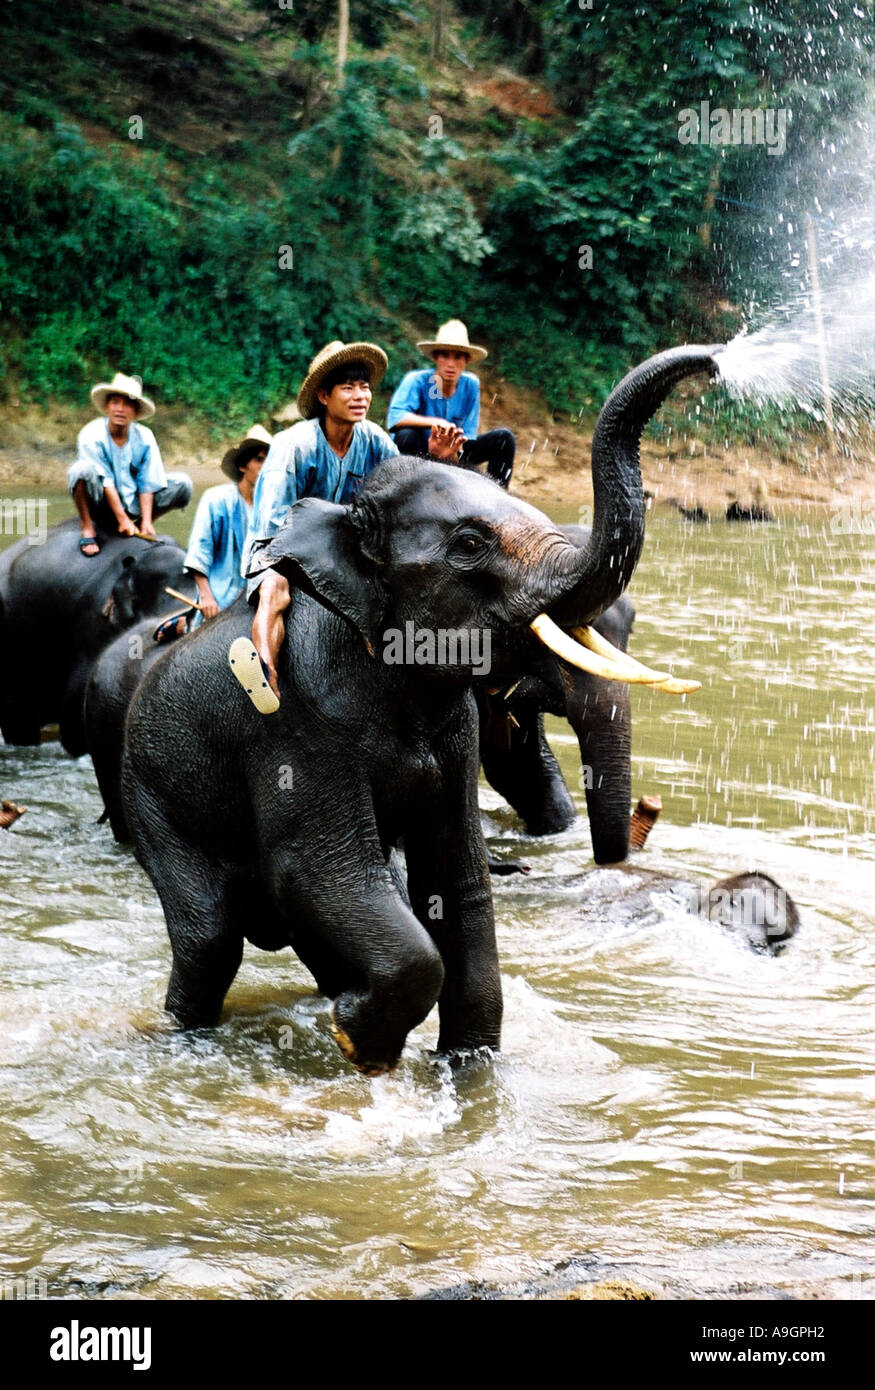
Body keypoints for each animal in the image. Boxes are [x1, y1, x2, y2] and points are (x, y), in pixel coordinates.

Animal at [121, 345, 723, 1074]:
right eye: (468, 544)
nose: (714, 363)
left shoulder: (455, 725)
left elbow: (454, 874)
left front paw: (463, 1068)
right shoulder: (300, 728)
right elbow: (321, 873)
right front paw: (360, 1040)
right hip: (155, 796)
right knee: (211, 937)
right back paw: (188, 1036)